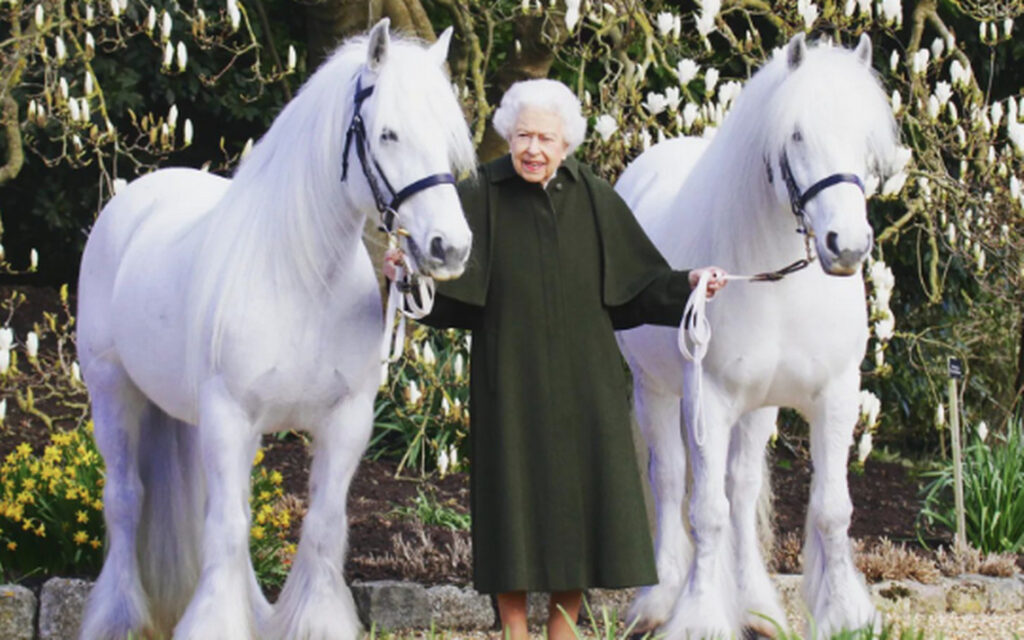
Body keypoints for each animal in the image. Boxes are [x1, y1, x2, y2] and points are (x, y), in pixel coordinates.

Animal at [75, 19, 475, 640]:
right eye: (388, 133)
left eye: (447, 137)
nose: (449, 248)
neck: (301, 278)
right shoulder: (229, 415)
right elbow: (227, 528)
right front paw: (214, 624)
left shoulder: (346, 420)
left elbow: (321, 525)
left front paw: (313, 621)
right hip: (111, 390)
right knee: (124, 498)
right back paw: (118, 618)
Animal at [614, 34, 902, 639]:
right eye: (795, 134)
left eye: (864, 137)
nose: (847, 245)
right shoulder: (708, 398)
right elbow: (704, 511)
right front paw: (699, 617)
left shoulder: (835, 396)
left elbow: (830, 509)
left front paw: (845, 613)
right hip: (655, 390)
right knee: (670, 479)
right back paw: (659, 599)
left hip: (759, 408)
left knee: (742, 490)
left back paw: (755, 607)